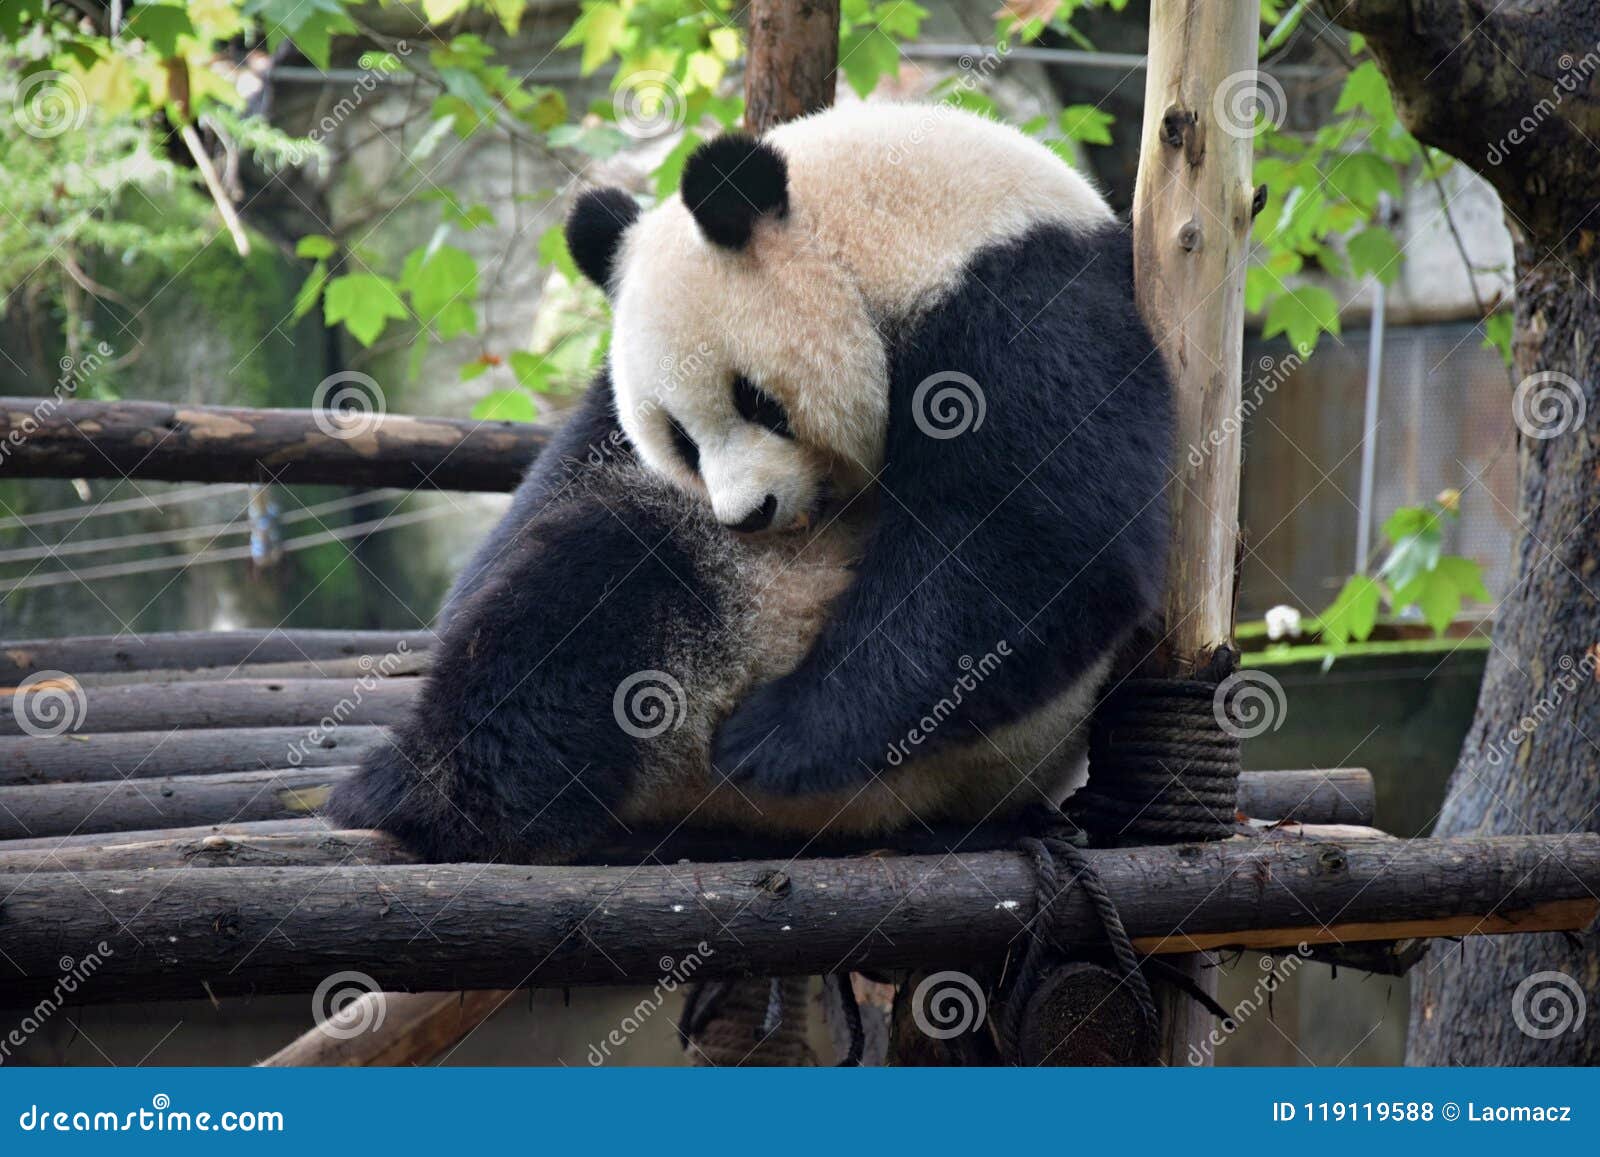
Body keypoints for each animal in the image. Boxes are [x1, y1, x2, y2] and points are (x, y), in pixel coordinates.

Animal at [327, 103, 1173, 864]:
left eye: (757, 400)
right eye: (679, 436)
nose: (748, 515)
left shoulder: (1016, 298)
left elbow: (1036, 533)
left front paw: (779, 736)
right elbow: (567, 466)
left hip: (803, 688)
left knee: (607, 581)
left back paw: (420, 791)